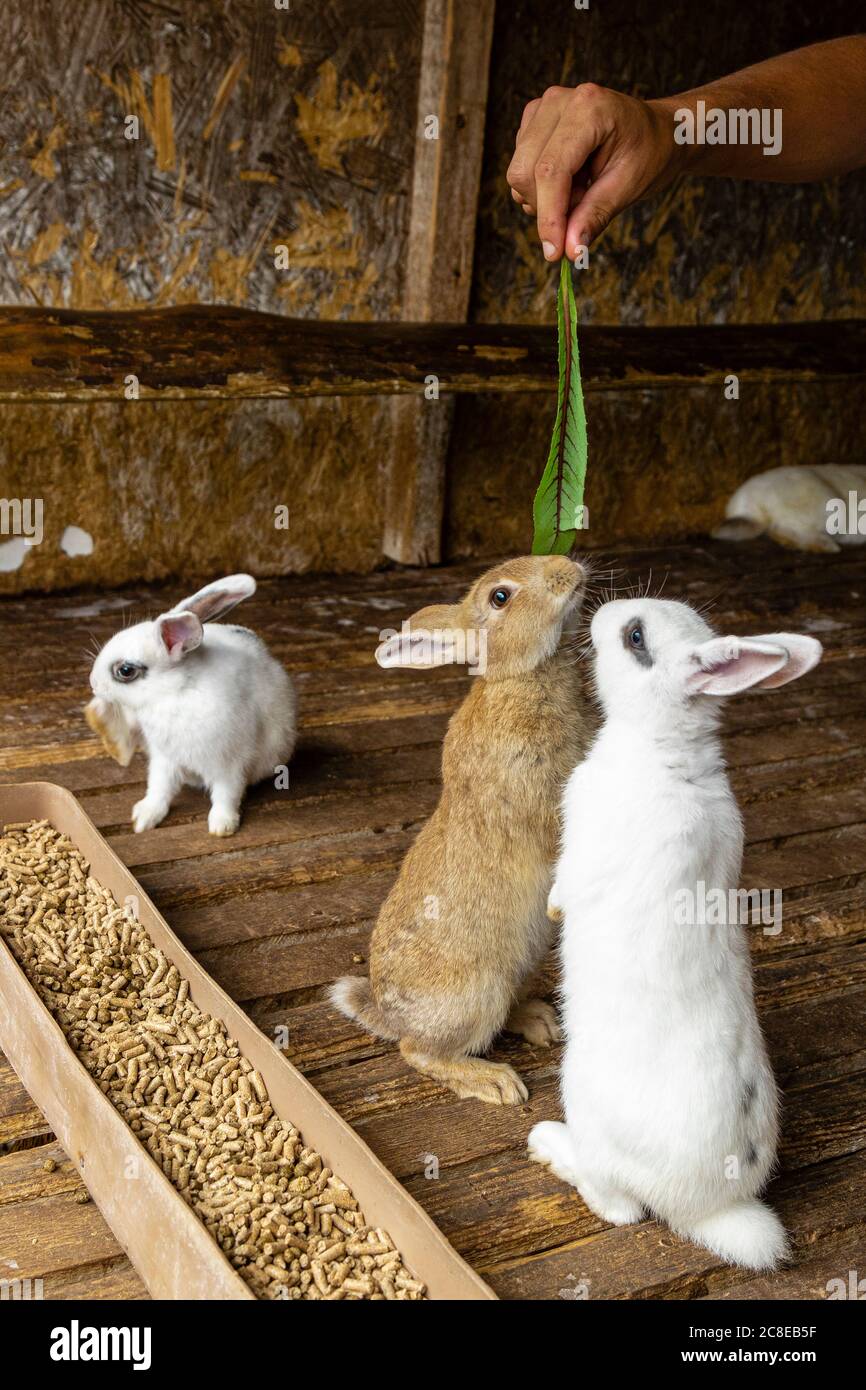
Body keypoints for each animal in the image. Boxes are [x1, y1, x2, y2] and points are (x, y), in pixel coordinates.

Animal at [87, 574, 296, 837]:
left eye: (125, 670)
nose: (93, 683)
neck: (175, 693)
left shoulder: (229, 763)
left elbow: (227, 795)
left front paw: (222, 826)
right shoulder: (165, 759)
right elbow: (159, 788)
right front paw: (144, 817)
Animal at [330, 554, 593, 1105]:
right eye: (500, 597)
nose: (569, 567)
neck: (520, 678)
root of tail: (390, 1015)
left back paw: (541, 1022)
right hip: (477, 993)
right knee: (421, 1052)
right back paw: (496, 1082)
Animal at [529, 596, 822, 1270]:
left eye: (636, 637)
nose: (602, 612)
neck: (662, 749)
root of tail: (712, 1207)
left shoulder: (583, 843)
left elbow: (565, 885)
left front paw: (554, 910)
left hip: (582, 1098)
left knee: (621, 1208)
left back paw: (550, 1145)